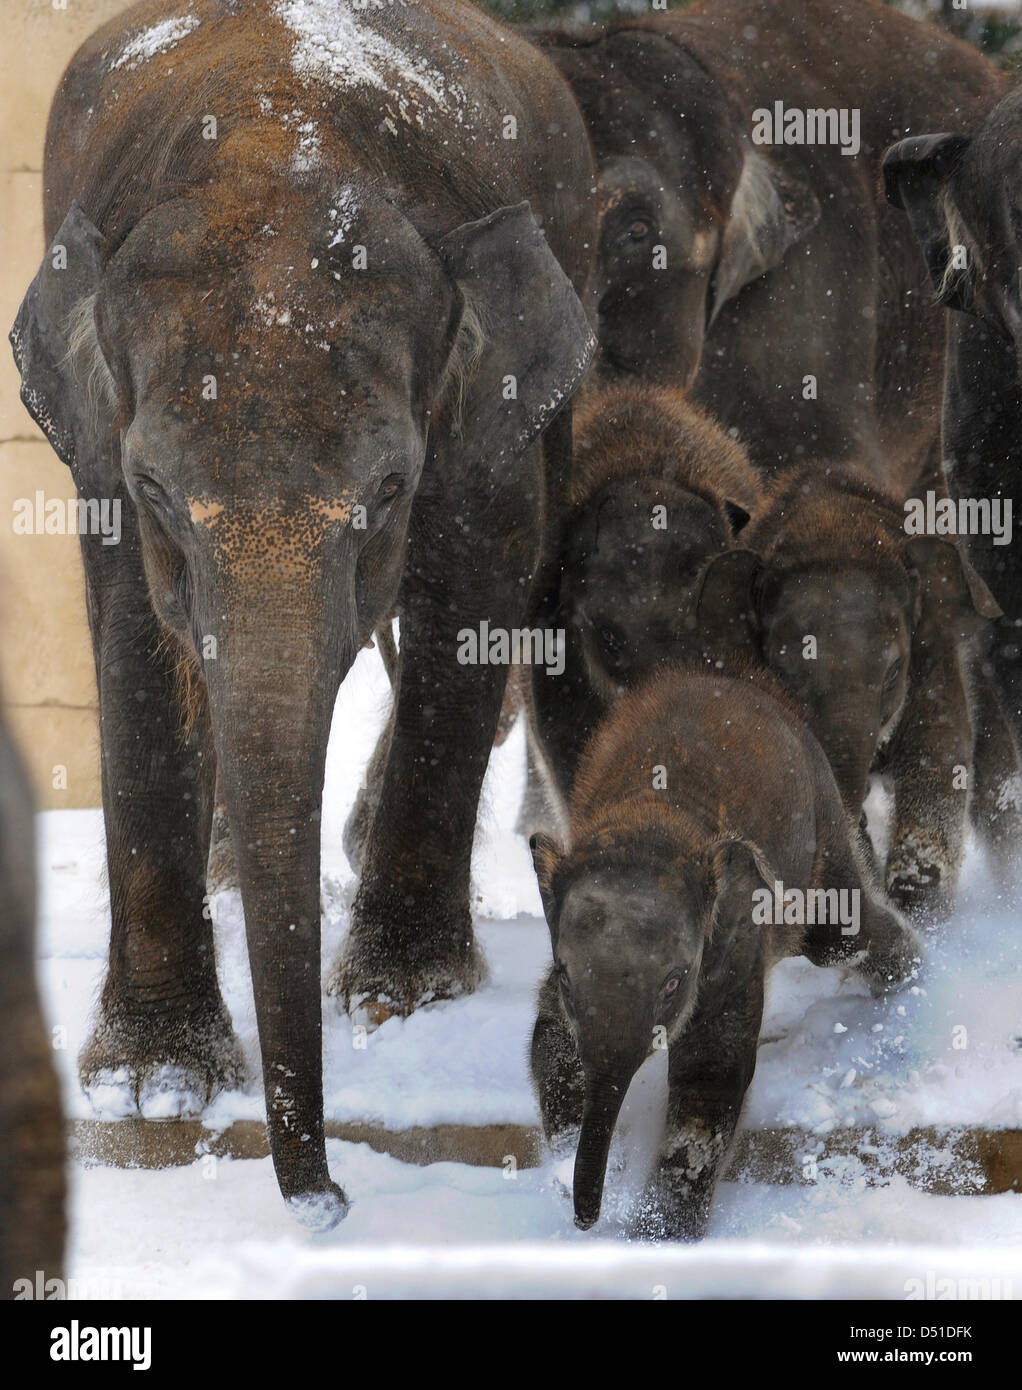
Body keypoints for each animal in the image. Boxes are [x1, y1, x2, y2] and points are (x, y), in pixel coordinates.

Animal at [10, 0, 595, 1225]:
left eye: (387, 490)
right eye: (154, 491)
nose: (327, 1203)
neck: (276, 146)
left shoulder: (480, 430)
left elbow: (478, 591)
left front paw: (397, 1001)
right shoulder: (101, 453)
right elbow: (134, 643)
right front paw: (153, 1082)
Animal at [529, 663, 921, 1240]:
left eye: (675, 980)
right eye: (564, 975)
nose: (585, 1220)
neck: (652, 822)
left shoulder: (735, 944)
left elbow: (711, 1069)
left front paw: (661, 1235)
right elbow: (551, 1043)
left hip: (822, 821)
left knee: (839, 938)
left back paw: (916, 975)